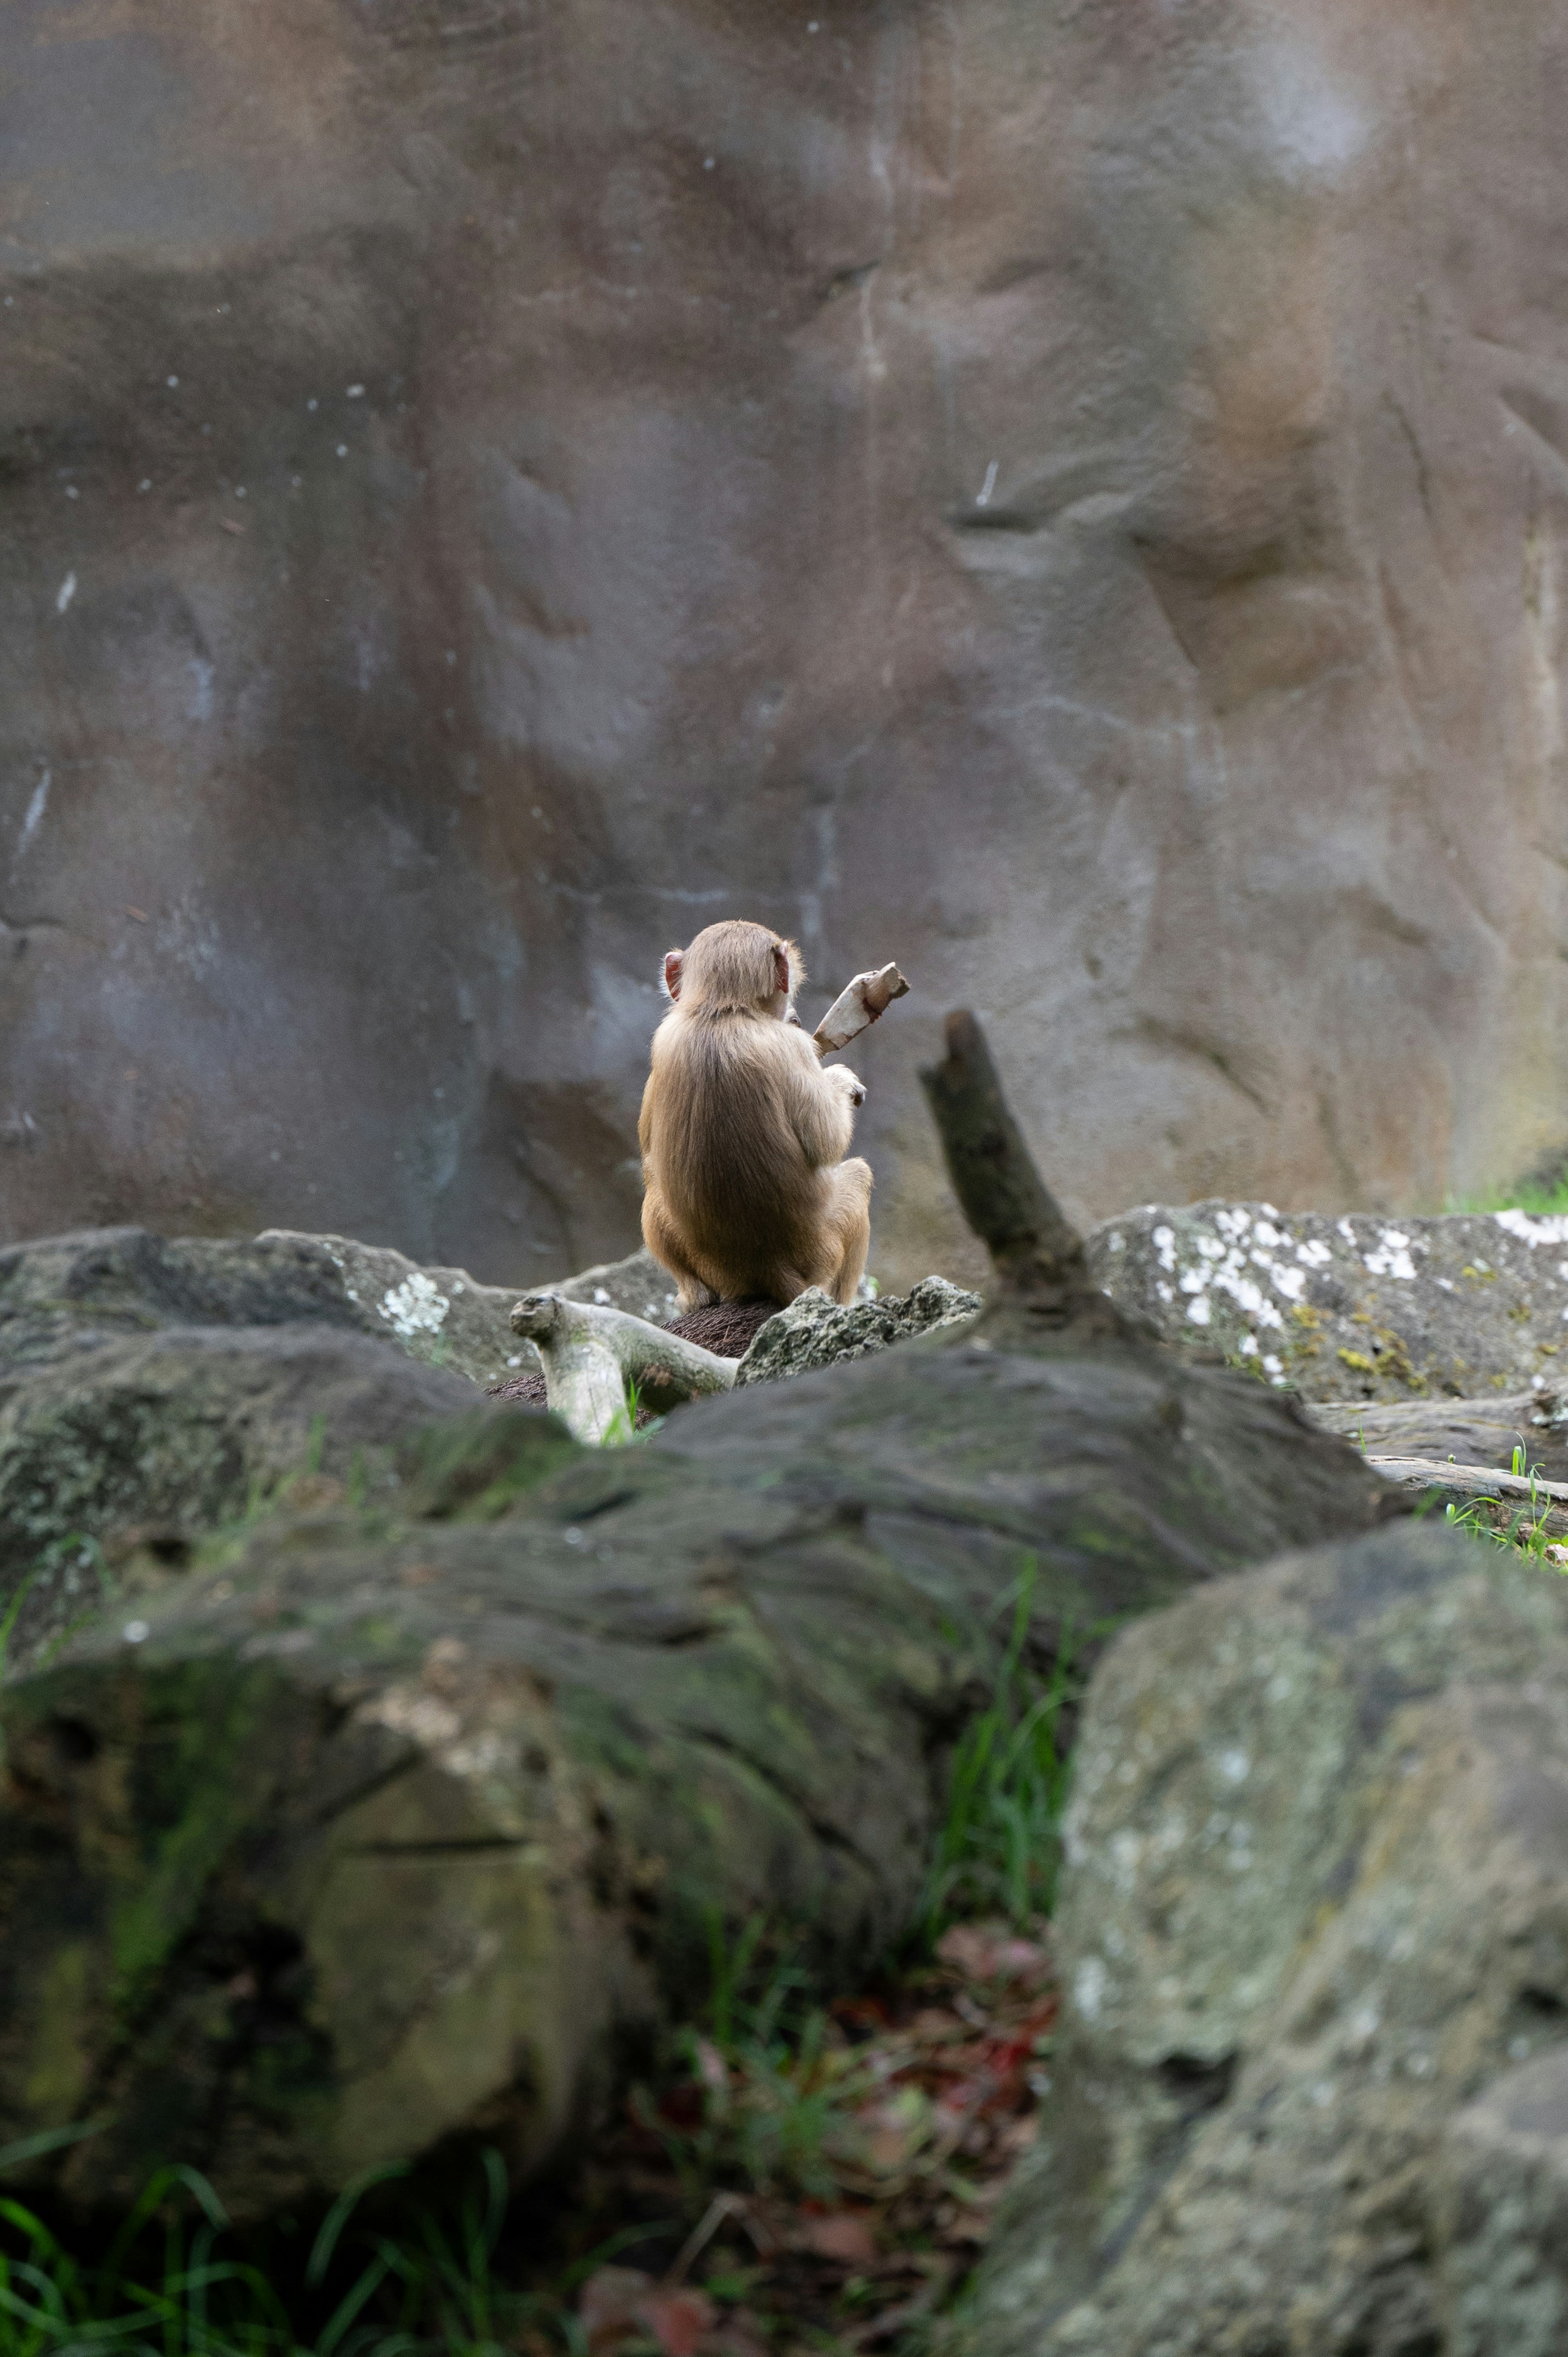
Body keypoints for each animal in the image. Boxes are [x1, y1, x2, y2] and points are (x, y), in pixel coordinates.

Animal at [638, 918, 873, 1311]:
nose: (794, 1016)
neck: (721, 1010)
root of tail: (769, 1268)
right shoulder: (792, 1046)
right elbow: (828, 1141)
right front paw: (840, 1079)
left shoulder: (662, 1044)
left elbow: (648, 1159)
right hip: (825, 1248)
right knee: (858, 1175)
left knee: (652, 1194)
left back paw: (695, 1297)